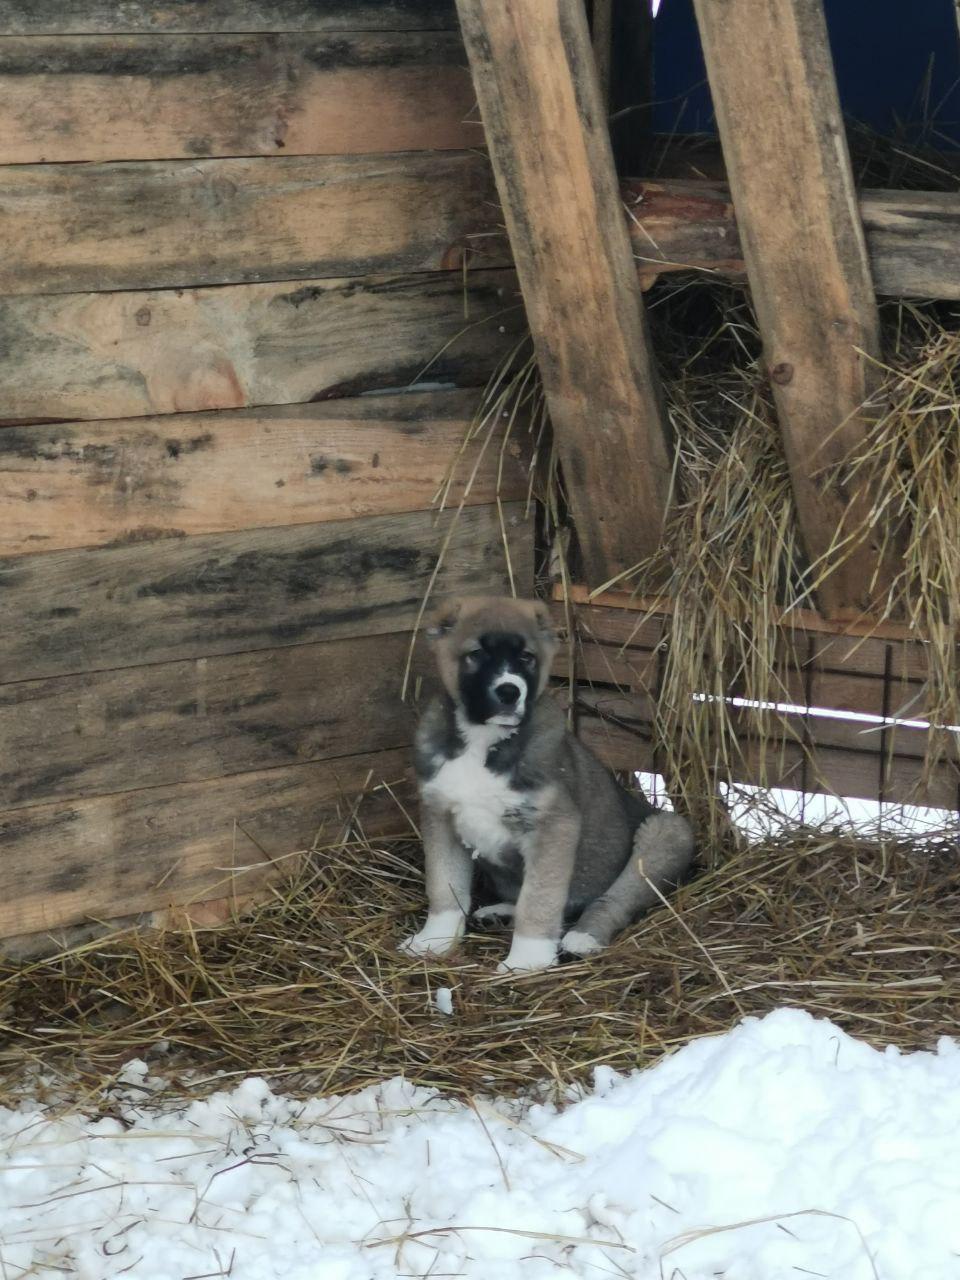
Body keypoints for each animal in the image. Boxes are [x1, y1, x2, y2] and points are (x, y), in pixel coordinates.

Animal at [401, 596, 696, 967]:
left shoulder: (554, 825)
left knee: (611, 900)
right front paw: (434, 940)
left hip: (667, 833)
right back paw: (499, 911)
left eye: (527, 657)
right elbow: (444, 886)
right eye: (477, 653)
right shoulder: (439, 815)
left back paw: (583, 937)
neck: (483, 740)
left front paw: (526, 960)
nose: (509, 691)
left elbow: (539, 900)